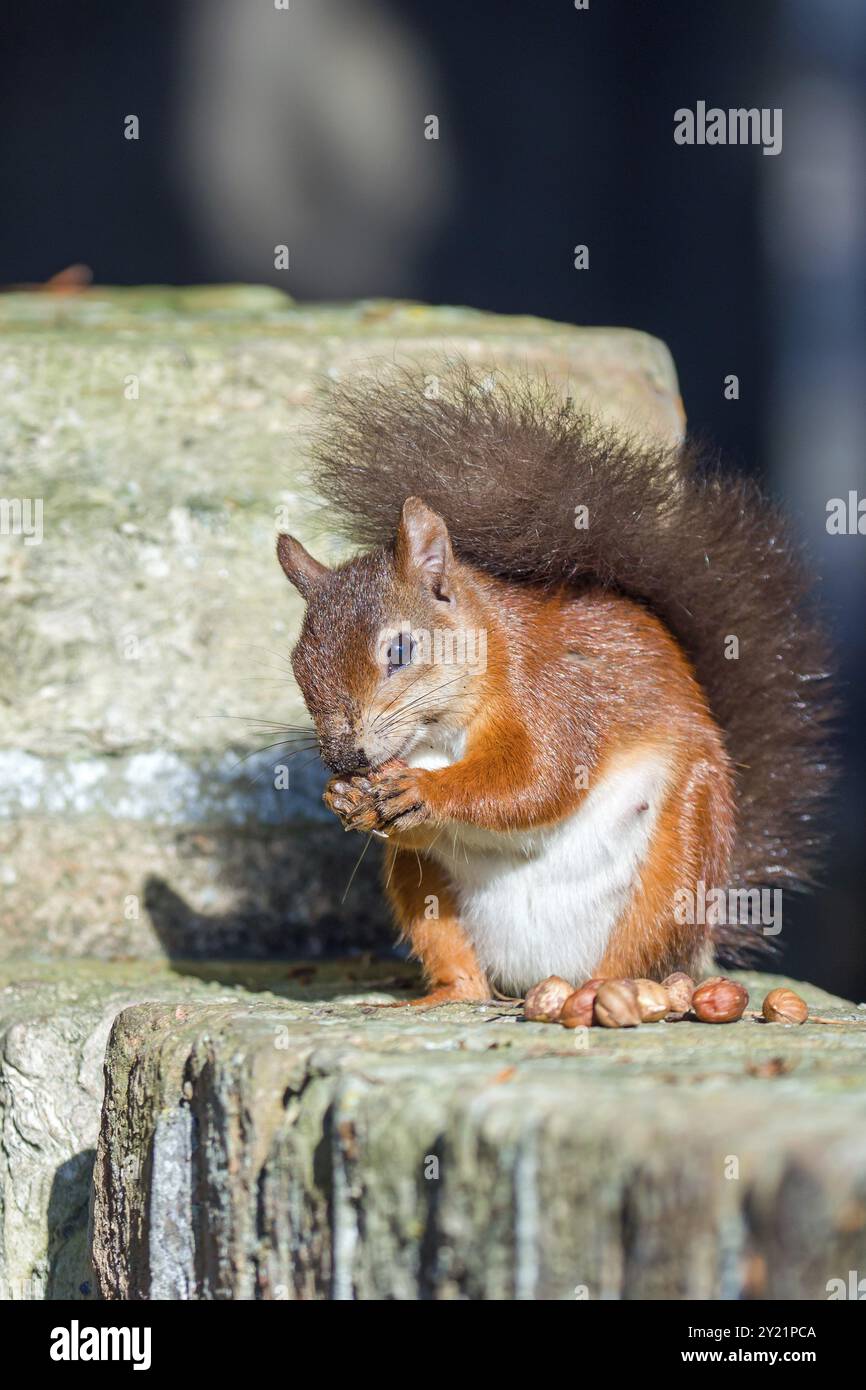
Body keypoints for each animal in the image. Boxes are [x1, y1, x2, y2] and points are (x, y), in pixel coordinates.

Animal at [276, 365, 834, 1007]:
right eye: (297, 666)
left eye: (399, 650)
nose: (345, 758)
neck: (438, 733)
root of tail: (539, 974)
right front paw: (342, 797)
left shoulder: (555, 695)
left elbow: (538, 780)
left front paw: (426, 790)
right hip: (426, 894)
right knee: (462, 965)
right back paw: (446, 995)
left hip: (679, 856)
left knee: (635, 949)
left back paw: (600, 994)